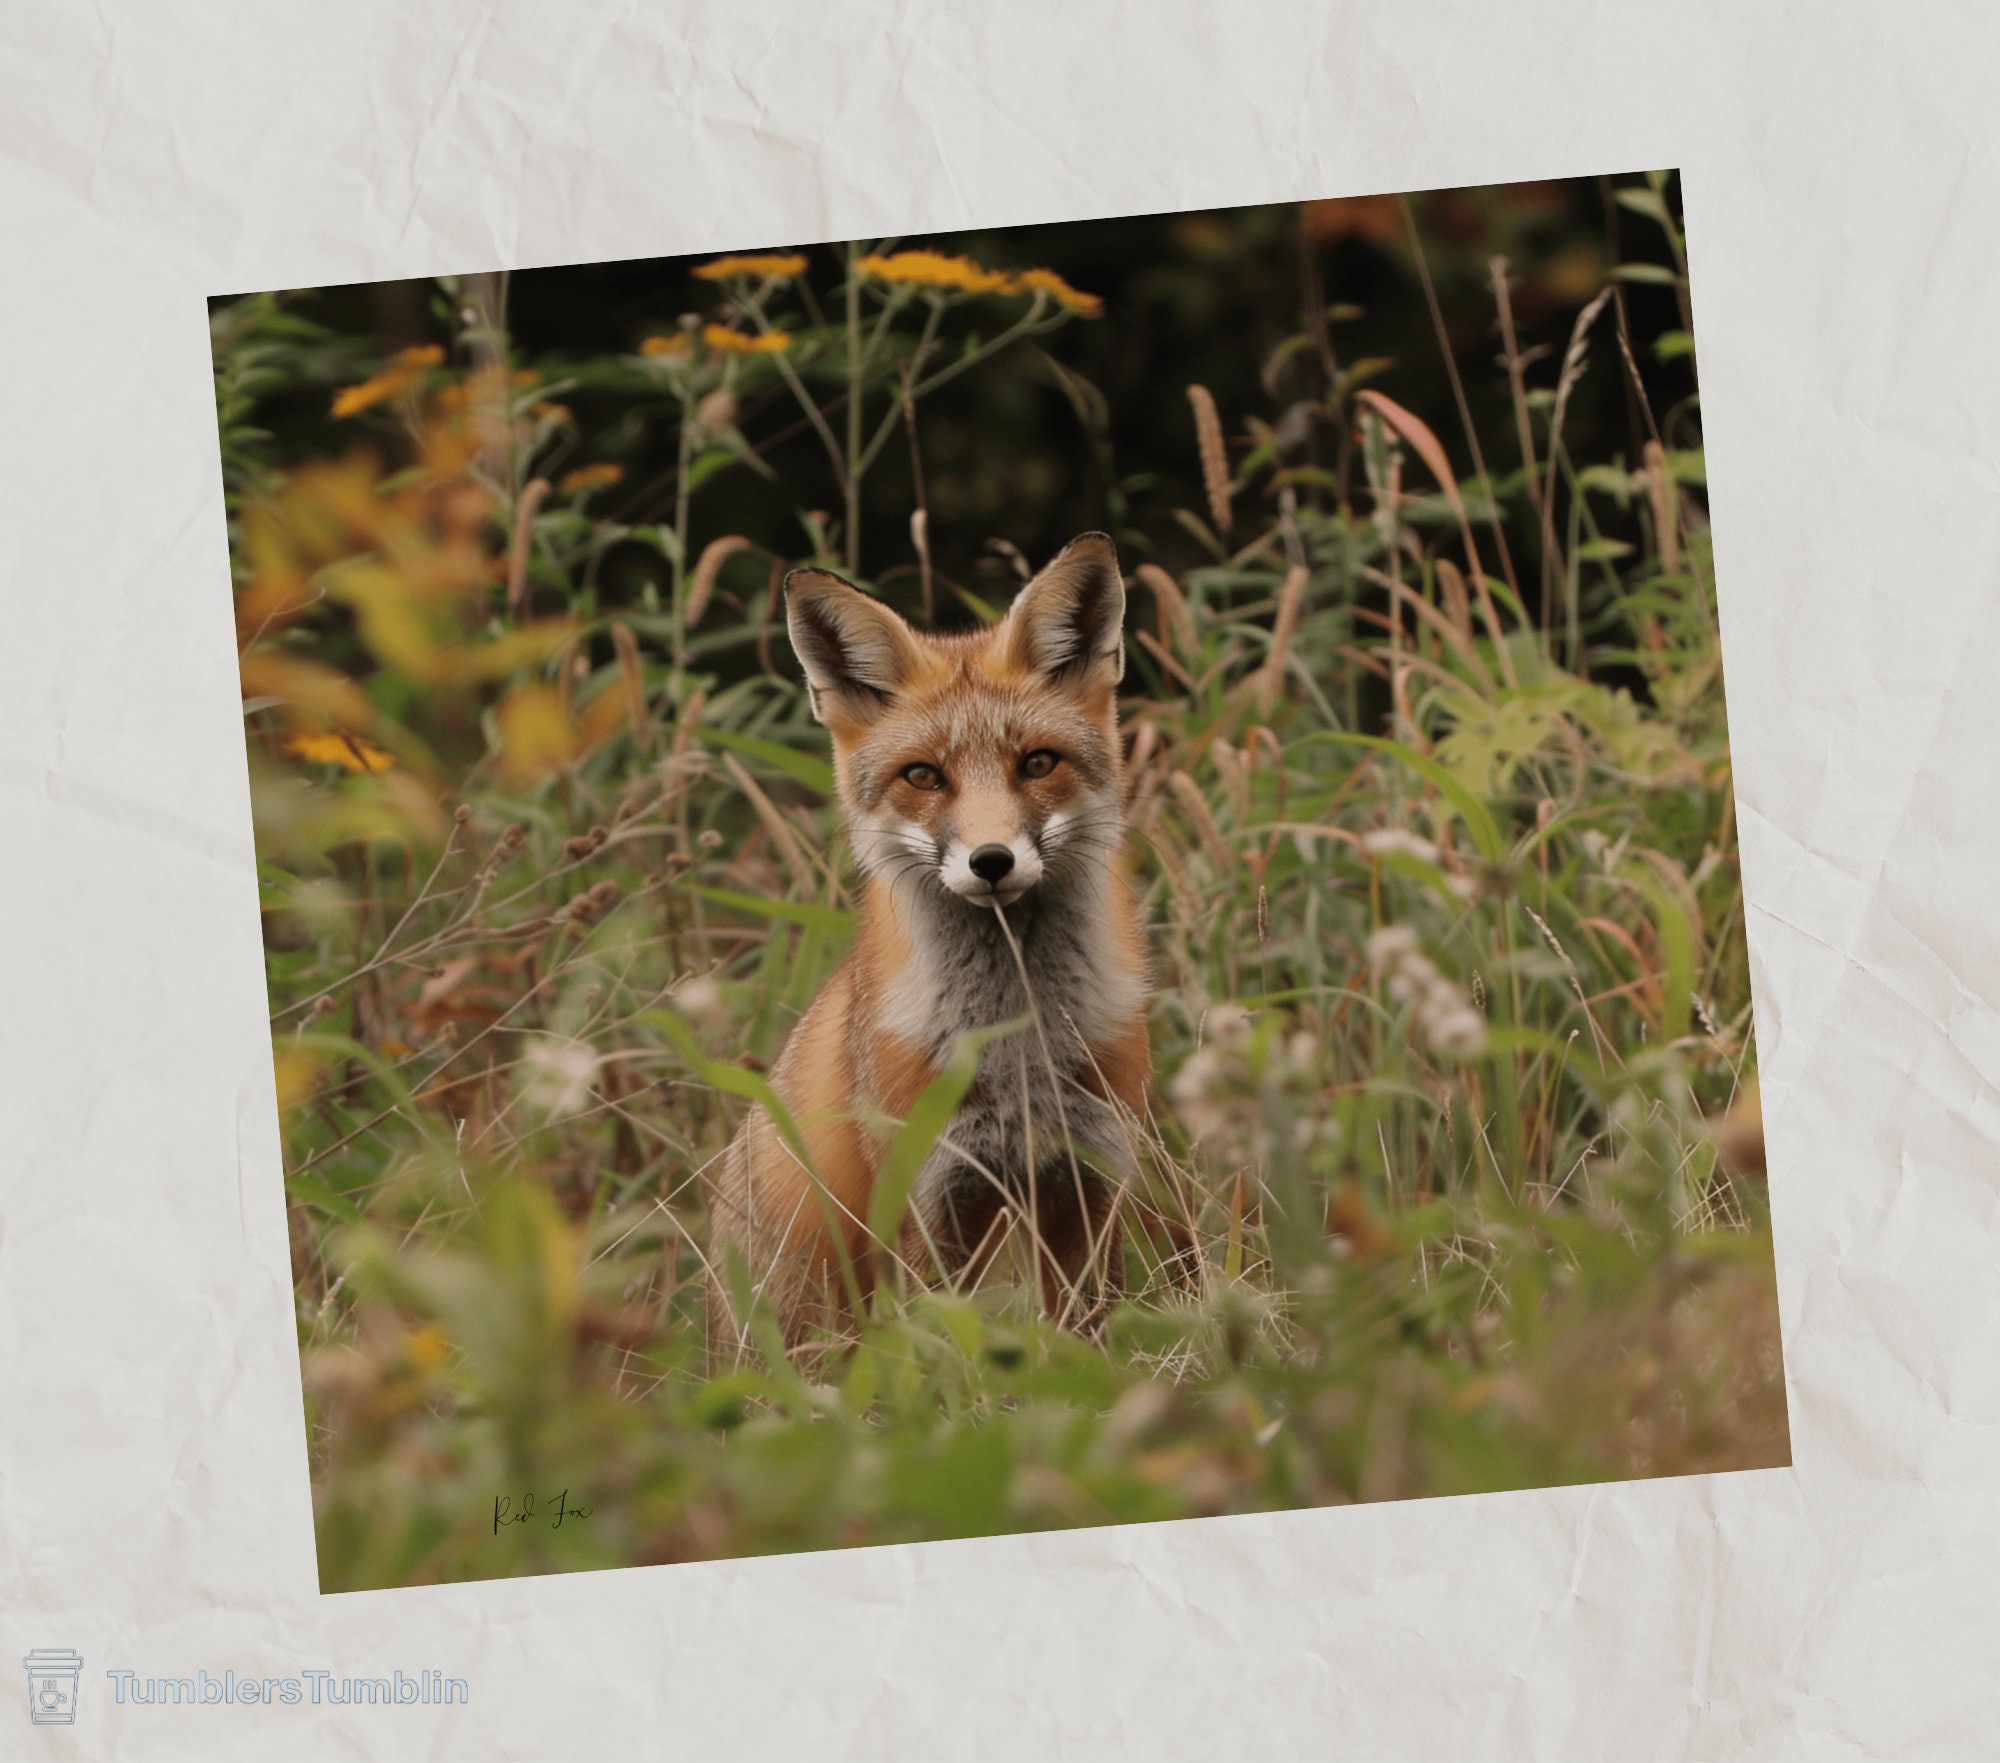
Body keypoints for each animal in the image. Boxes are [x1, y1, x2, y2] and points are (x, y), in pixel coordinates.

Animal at [706, 531, 1151, 1360]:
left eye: (1037, 762)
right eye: (924, 775)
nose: (991, 860)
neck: (1016, 1042)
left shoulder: (1089, 1178)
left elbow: (1084, 1343)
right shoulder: (930, 1196)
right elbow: (945, 1354)